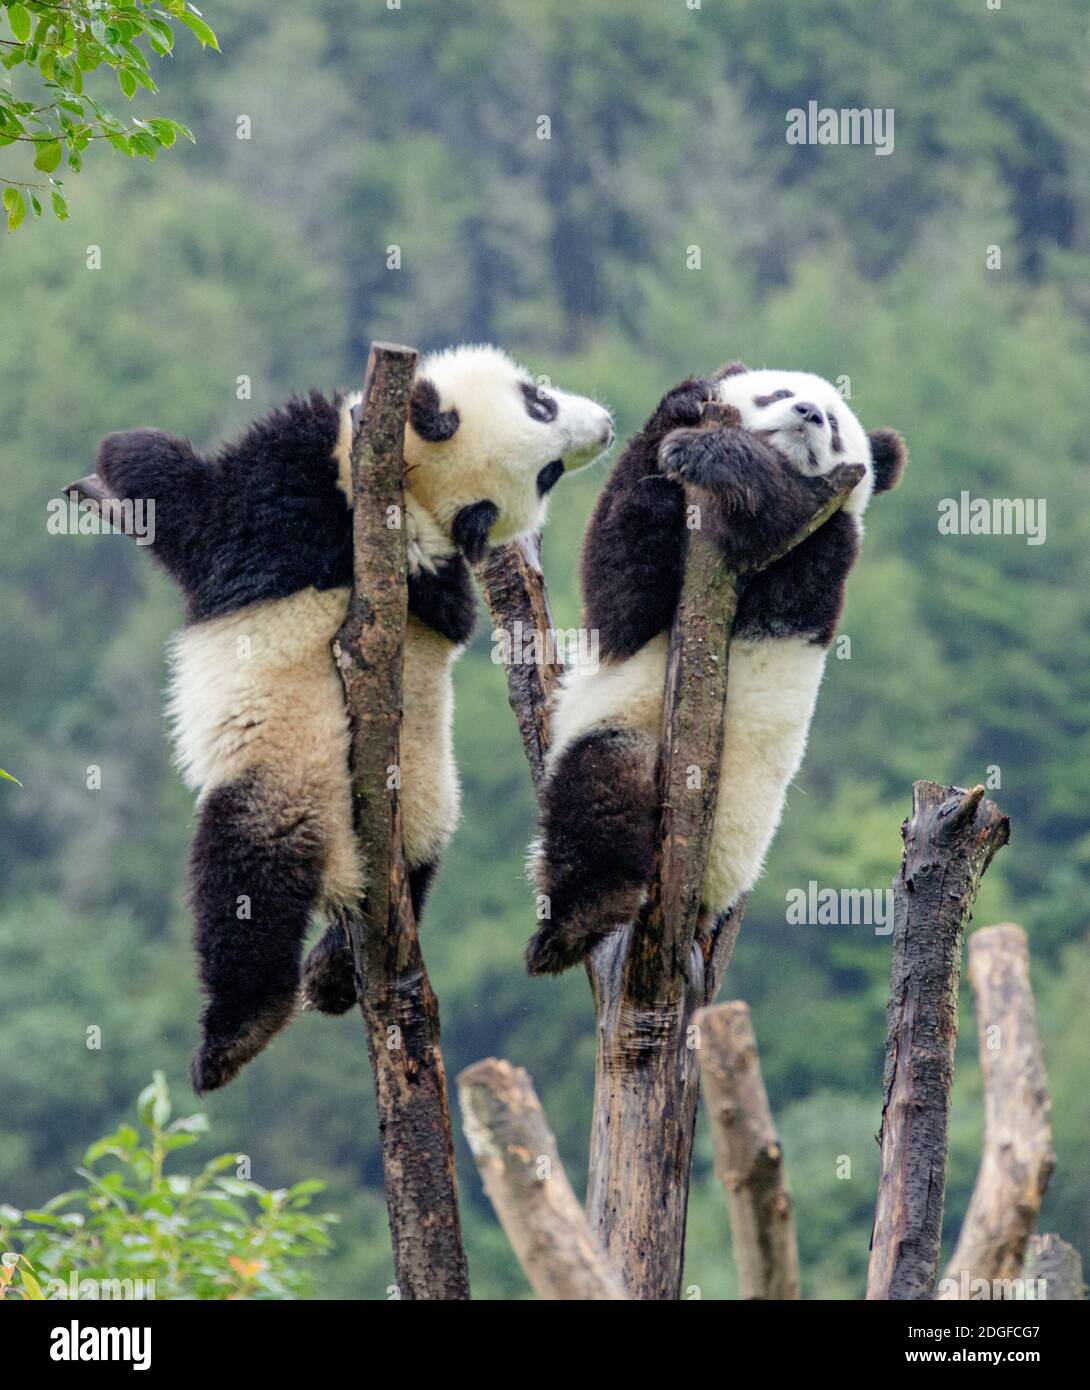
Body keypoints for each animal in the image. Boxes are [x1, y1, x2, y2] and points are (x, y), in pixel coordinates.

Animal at [78, 345, 614, 1089]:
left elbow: (198, 516)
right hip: (421, 804)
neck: (409, 491)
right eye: (541, 411)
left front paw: (129, 451)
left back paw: (236, 1034)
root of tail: (344, 859)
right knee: (412, 870)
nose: (608, 429)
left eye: (548, 466)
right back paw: (332, 973)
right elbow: (451, 610)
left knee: (246, 884)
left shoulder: (285, 506)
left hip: (286, 782)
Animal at [525, 363, 906, 975]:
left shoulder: (825, 542)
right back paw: (571, 927)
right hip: (624, 726)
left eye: (835, 424)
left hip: (733, 831)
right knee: (599, 792)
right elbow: (621, 589)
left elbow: (778, 524)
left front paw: (717, 456)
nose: (808, 414)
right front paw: (683, 410)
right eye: (778, 393)